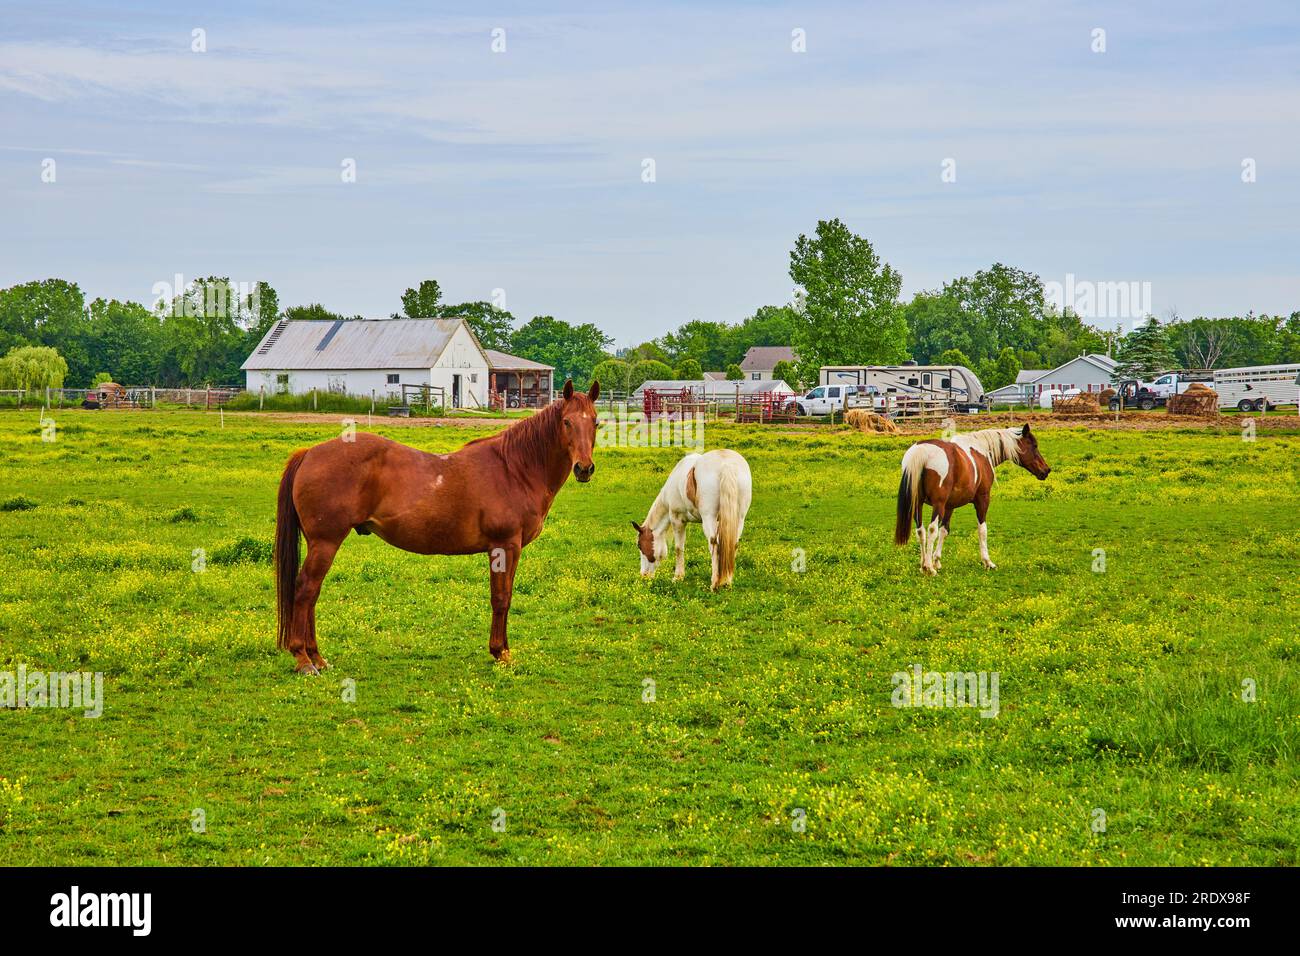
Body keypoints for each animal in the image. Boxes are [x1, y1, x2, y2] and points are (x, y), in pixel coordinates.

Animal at [273, 380, 600, 673]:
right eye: (567, 422)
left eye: (595, 422)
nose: (584, 468)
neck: (514, 469)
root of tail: (309, 453)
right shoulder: (504, 547)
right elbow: (501, 599)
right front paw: (500, 652)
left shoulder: (508, 549)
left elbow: (504, 597)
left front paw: (502, 650)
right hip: (325, 542)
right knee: (306, 589)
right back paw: (303, 659)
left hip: (319, 543)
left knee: (313, 592)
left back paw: (317, 658)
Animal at [632, 449, 752, 589]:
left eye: (639, 545)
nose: (643, 575)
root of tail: (726, 464)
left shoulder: (677, 519)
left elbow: (679, 548)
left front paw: (678, 577)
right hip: (739, 518)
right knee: (733, 543)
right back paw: (727, 581)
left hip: (709, 517)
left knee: (714, 543)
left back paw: (714, 583)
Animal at [894, 424, 1051, 575]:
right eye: (1034, 445)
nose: (1046, 470)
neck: (982, 451)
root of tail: (922, 450)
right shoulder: (982, 499)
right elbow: (982, 530)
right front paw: (987, 562)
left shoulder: (949, 506)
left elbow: (944, 530)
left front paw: (937, 560)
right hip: (937, 505)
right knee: (932, 530)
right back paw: (928, 568)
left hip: (918, 504)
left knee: (921, 531)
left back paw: (923, 566)